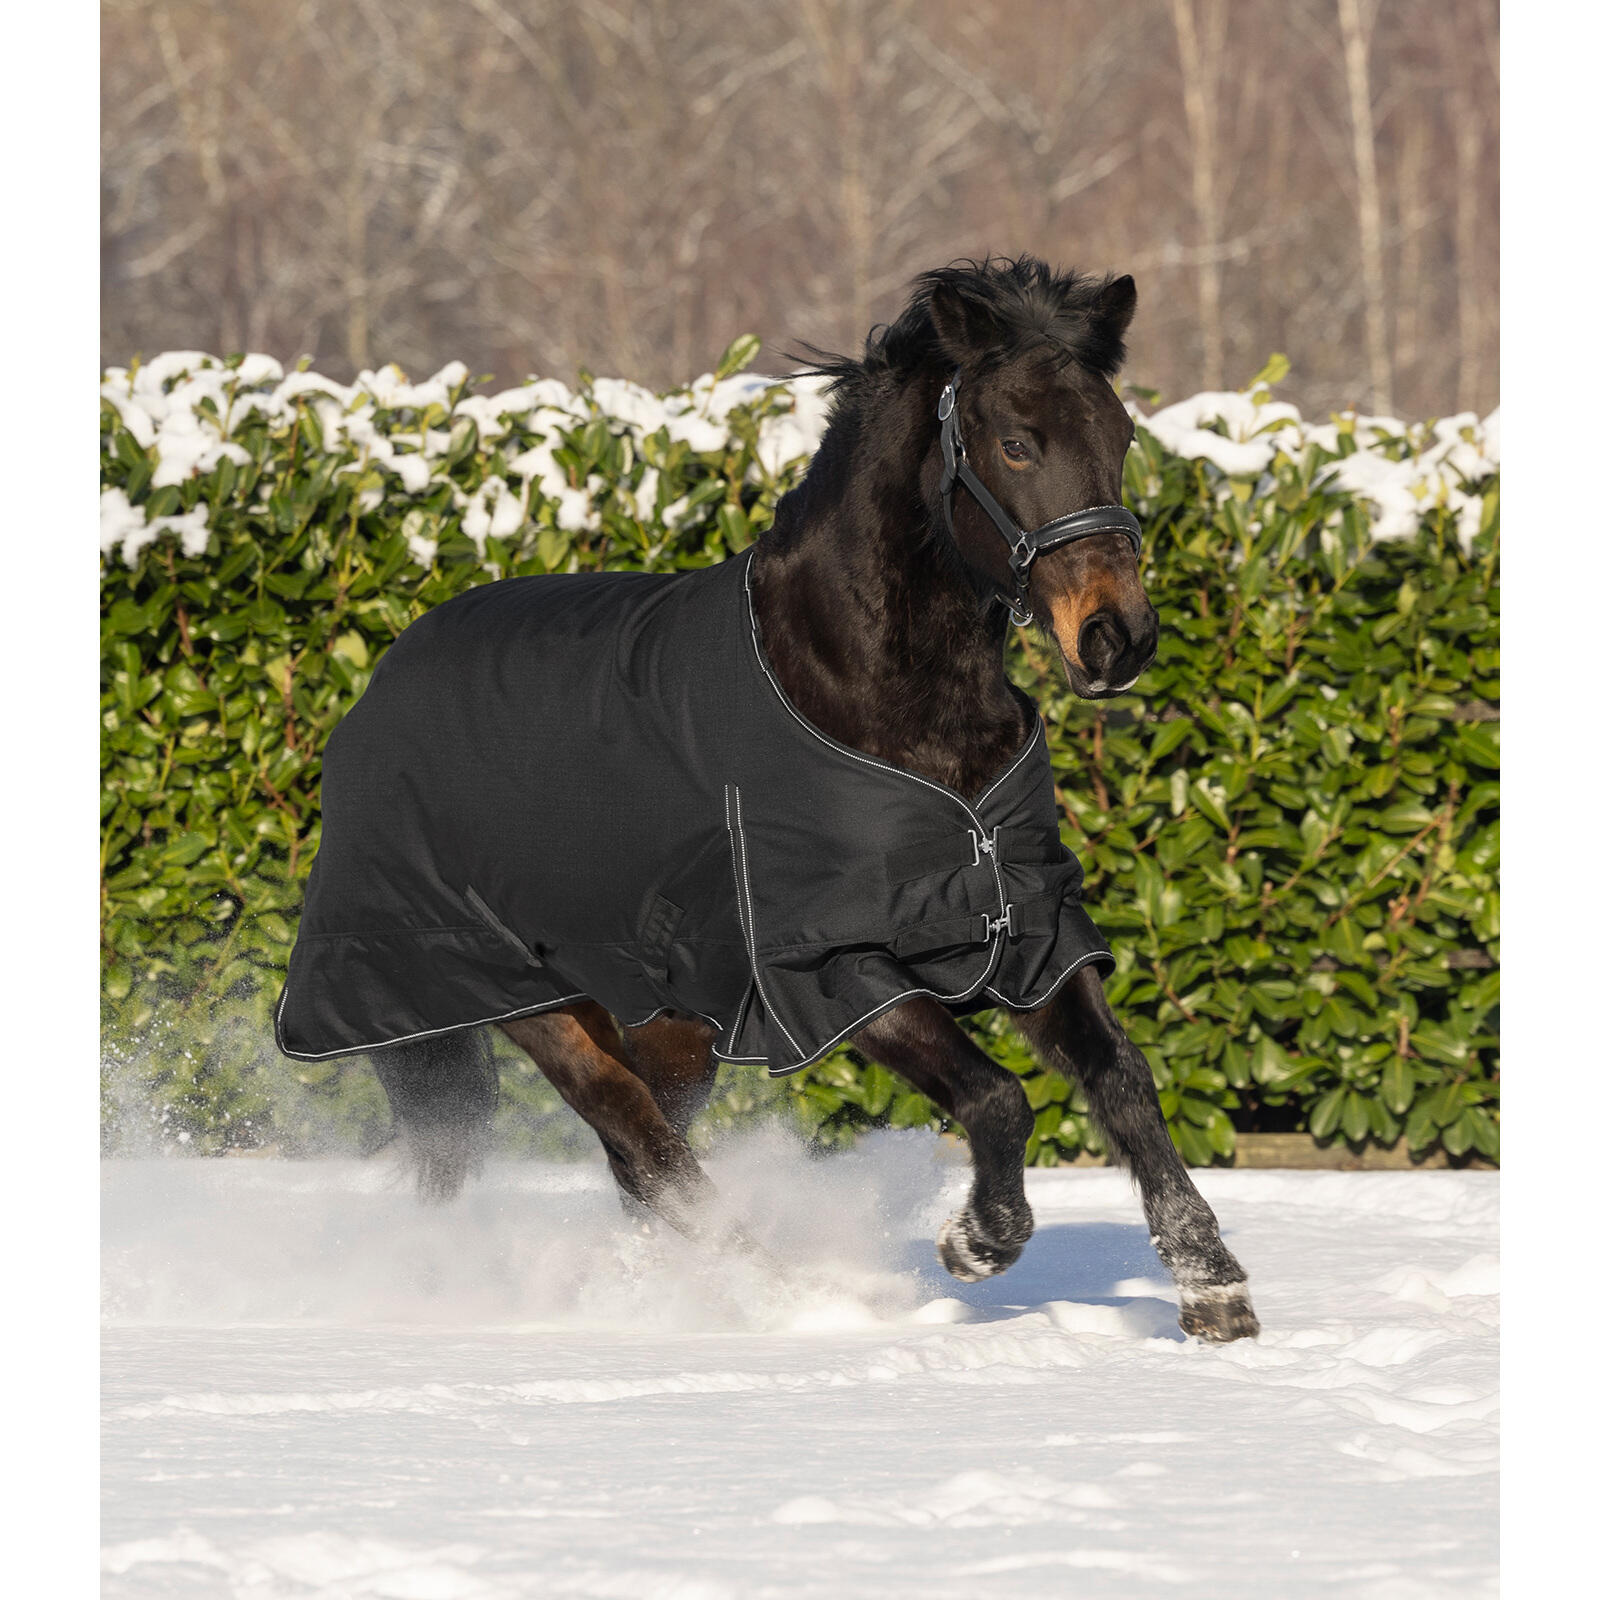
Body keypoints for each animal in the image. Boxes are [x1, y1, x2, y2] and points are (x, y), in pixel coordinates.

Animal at [288, 255, 1259, 1344]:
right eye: (1016, 440)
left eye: (1120, 437)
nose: (1117, 639)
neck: (872, 686)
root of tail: (374, 693)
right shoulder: (832, 969)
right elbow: (997, 1096)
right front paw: (979, 1240)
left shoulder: (1029, 929)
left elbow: (1123, 1080)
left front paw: (1212, 1287)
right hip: (515, 996)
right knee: (647, 1150)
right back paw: (782, 1298)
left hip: (668, 1023)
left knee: (637, 1160)